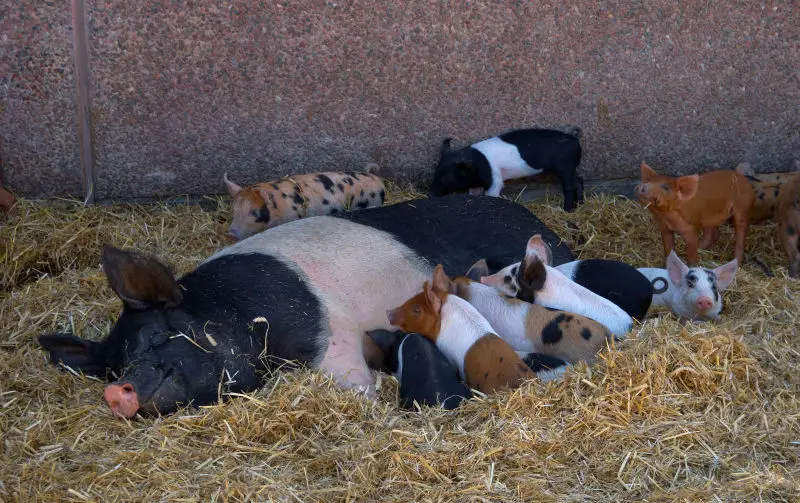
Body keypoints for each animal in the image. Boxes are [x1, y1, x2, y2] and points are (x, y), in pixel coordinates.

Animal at [430, 127, 585, 211]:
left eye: (447, 178)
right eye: (436, 172)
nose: (431, 194)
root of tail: (575, 139)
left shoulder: (495, 179)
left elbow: (492, 192)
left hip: (564, 166)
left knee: (569, 187)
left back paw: (566, 210)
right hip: (571, 168)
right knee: (579, 181)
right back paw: (580, 204)